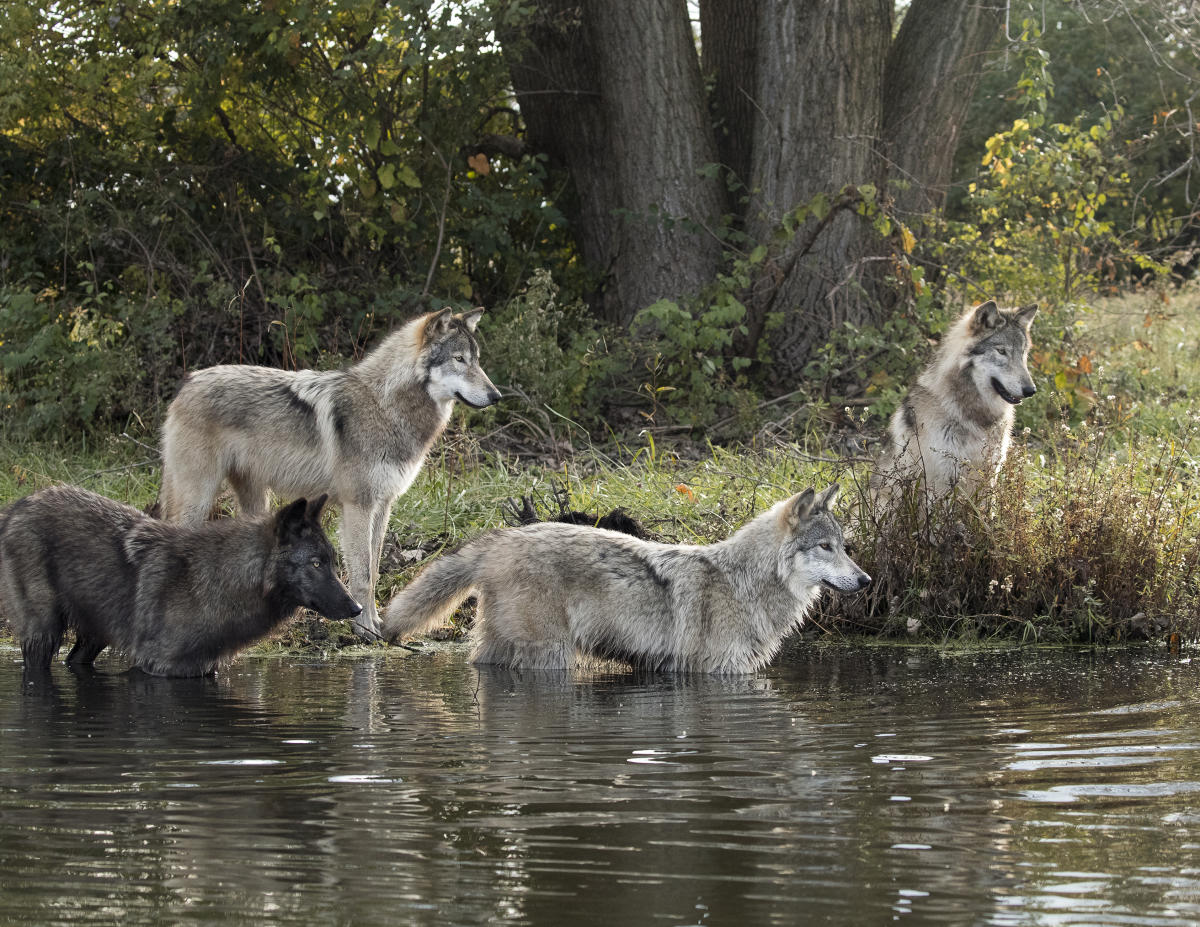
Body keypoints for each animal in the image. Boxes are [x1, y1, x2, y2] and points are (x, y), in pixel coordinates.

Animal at [0, 486, 361, 677]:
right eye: (316, 564)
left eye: (332, 562)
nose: (357, 607)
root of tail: (16, 508)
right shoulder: (156, 667)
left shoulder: (203, 669)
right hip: (44, 634)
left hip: (93, 638)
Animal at [159, 307, 501, 639]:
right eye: (459, 359)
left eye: (477, 360)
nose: (496, 395)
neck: (384, 405)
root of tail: (189, 381)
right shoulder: (358, 506)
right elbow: (362, 573)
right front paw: (364, 630)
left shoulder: (382, 506)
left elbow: (374, 570)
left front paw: (376, 624)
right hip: (198, 497)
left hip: (255, 499)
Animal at [381, 485, 869, 674]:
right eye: (825, 547)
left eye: (844, 546)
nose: (865, 580)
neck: (743, 582)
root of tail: (502, 537)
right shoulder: (717, 673)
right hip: (552, 656)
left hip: (498, 652)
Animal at [872, 300, 1038, 503]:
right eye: (1001, 351)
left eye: (1023, 353)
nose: (1031, 390)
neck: (975, 413)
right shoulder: (942, 478)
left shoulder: (990, 474)